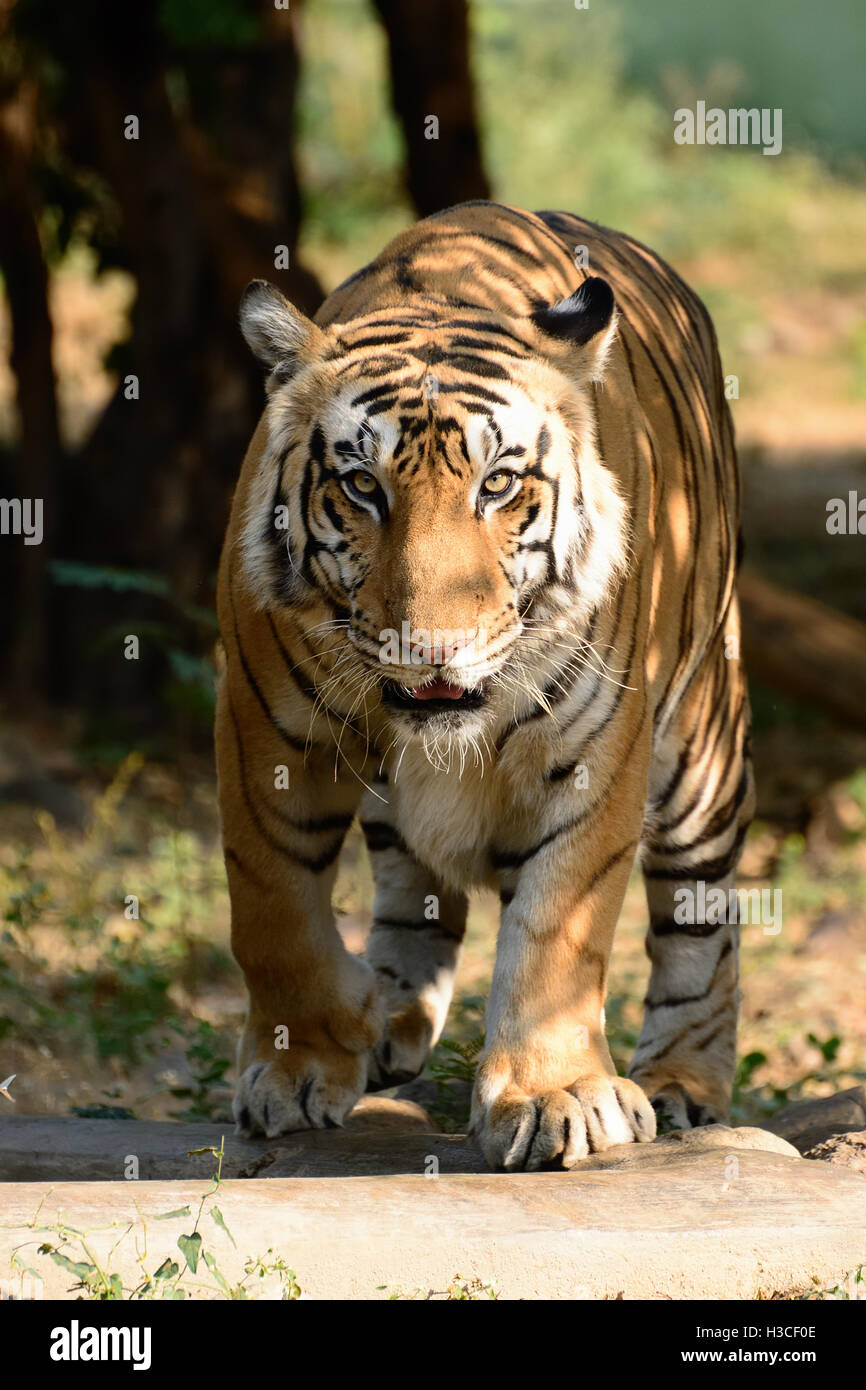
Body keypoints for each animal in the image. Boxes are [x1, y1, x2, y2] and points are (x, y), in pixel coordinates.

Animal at [215, 199, 755, 1172]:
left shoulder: (595, 757)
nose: (433, 649)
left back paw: (682, 1083)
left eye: (498, 485)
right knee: (408, 876)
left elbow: (559, 934)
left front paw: (553, 1097)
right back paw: (387, 1012)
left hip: (702, 757)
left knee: (702, 925)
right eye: (362, 486)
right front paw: (303, 1065)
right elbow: (274, 912)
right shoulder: (262, 734)